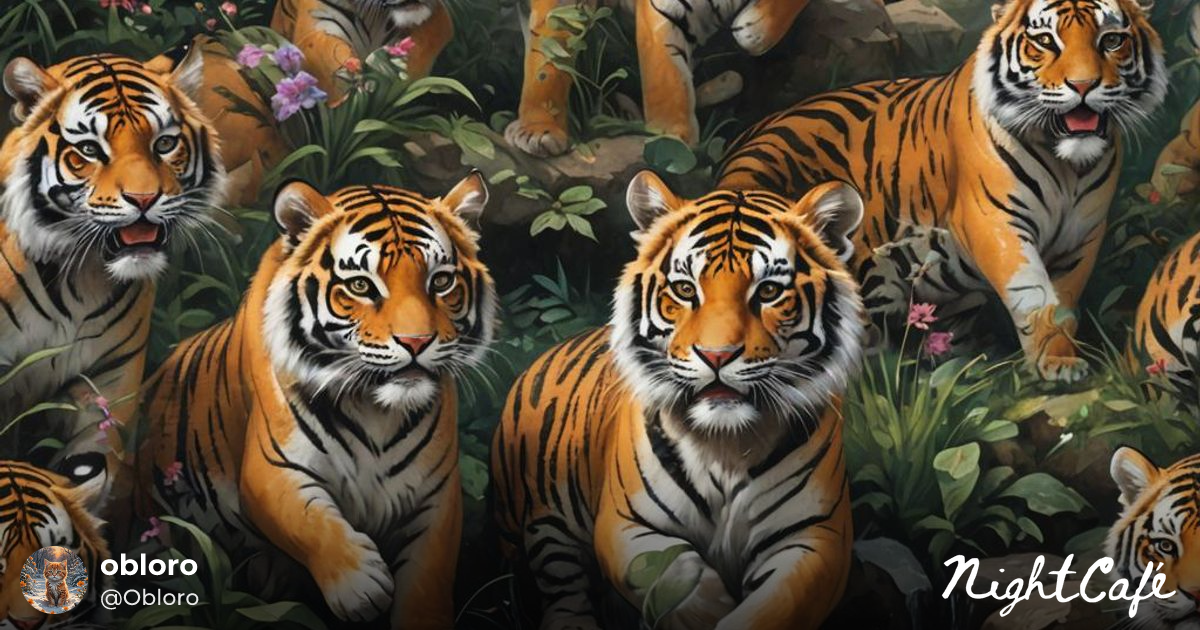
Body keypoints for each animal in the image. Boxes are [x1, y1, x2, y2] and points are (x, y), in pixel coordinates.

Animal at [138, 174, 495, 626]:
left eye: (441, 281)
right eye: (361, 285)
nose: (416, 342)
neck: (376, 409)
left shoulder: (435, 497)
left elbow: (426, 582)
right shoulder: (273, 469)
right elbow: (309, 521)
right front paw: (360, 586)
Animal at [491, 170, 866, 630]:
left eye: (768, 292)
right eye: (686, 289)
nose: (717, 356)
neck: (727, 445)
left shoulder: (815, 538)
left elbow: (766, 612)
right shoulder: (624, 523)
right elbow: (673, 576)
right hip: (543, 516)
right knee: (561, 584)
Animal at [717, 0, 1166, 382]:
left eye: (1111, 40)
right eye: (1044, 41)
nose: (1083, 85)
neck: (1067, 165)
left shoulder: (1082, 238)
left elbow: (1063, 303)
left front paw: (1058, 356)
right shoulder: (996, 223)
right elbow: (1034, 292)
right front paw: (1054, 364)